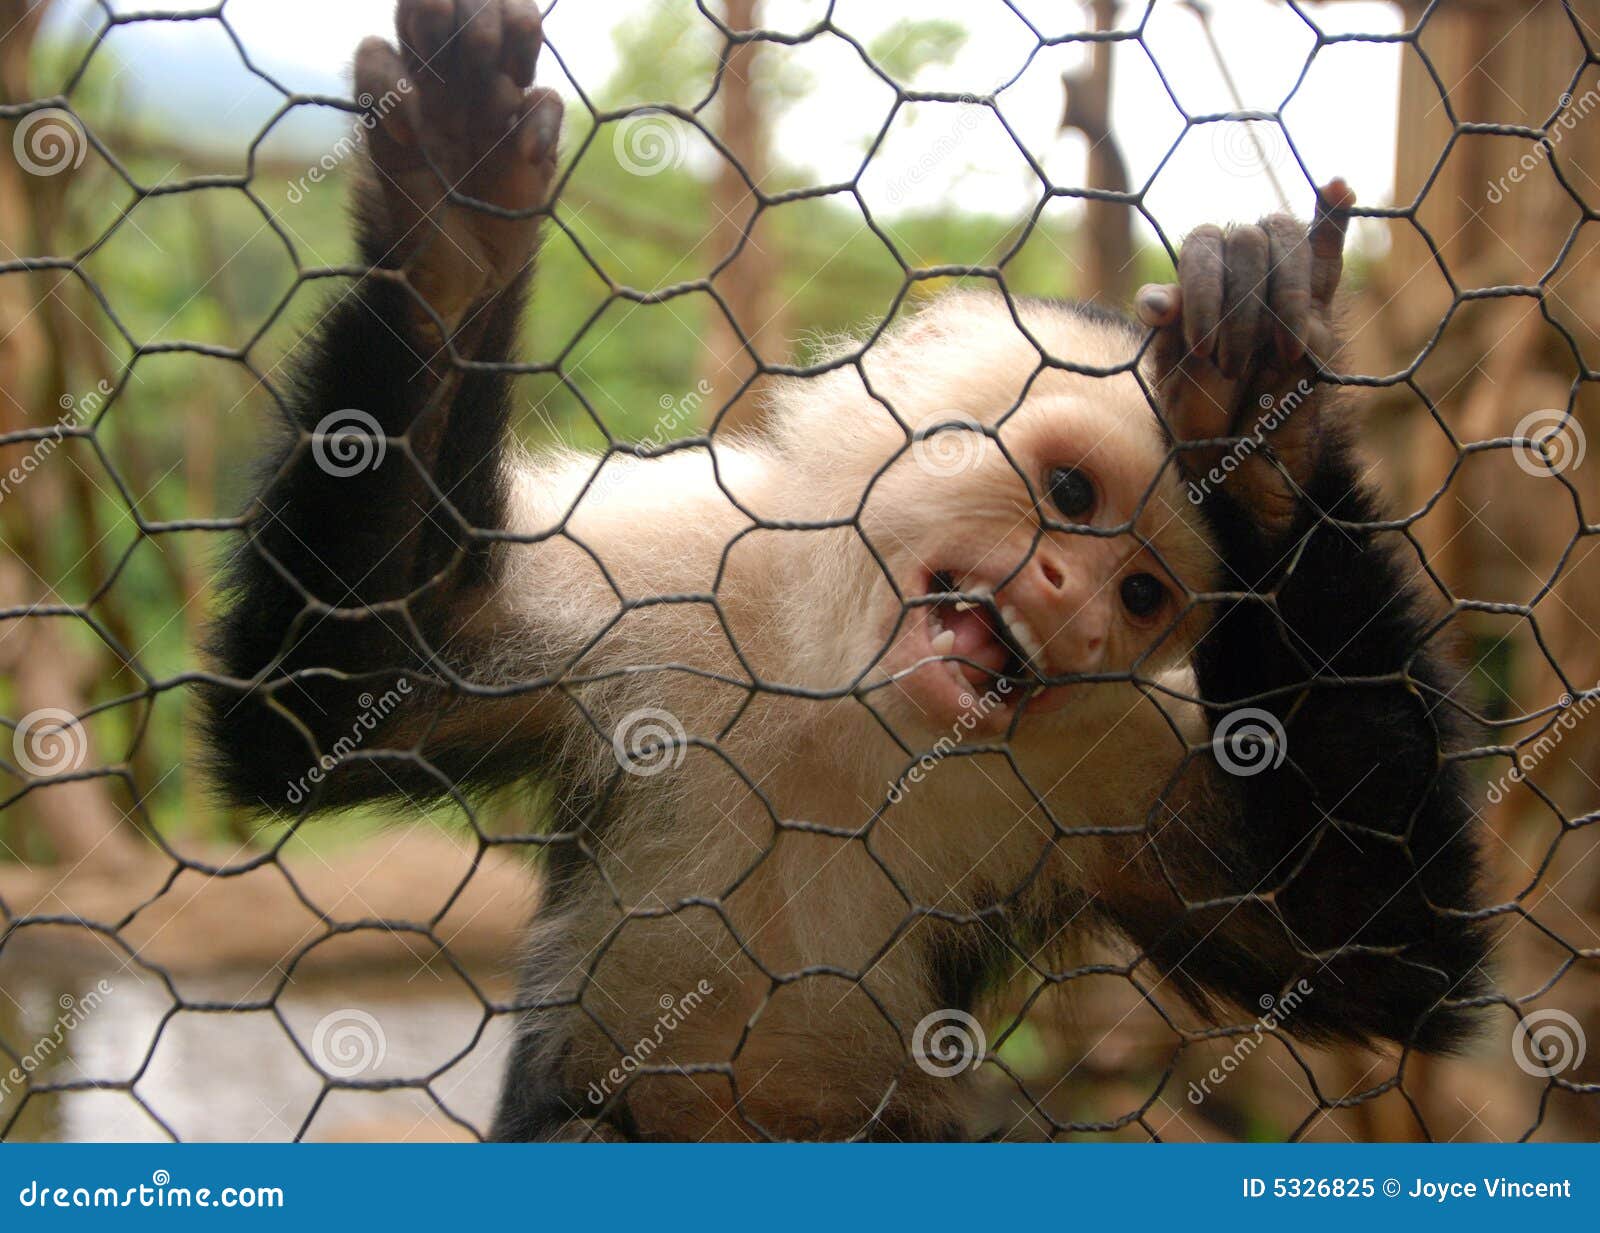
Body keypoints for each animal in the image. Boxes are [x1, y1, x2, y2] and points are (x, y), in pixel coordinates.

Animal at [200, 0, 1492, 1141]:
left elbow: (1365, 947)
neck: (853, 712)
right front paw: (453, 212)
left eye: (1139, 596)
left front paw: (1268, 442)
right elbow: (328, 704)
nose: (1075, 607)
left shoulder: (1104, 750)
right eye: (1070, 496)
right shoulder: (660, 572)